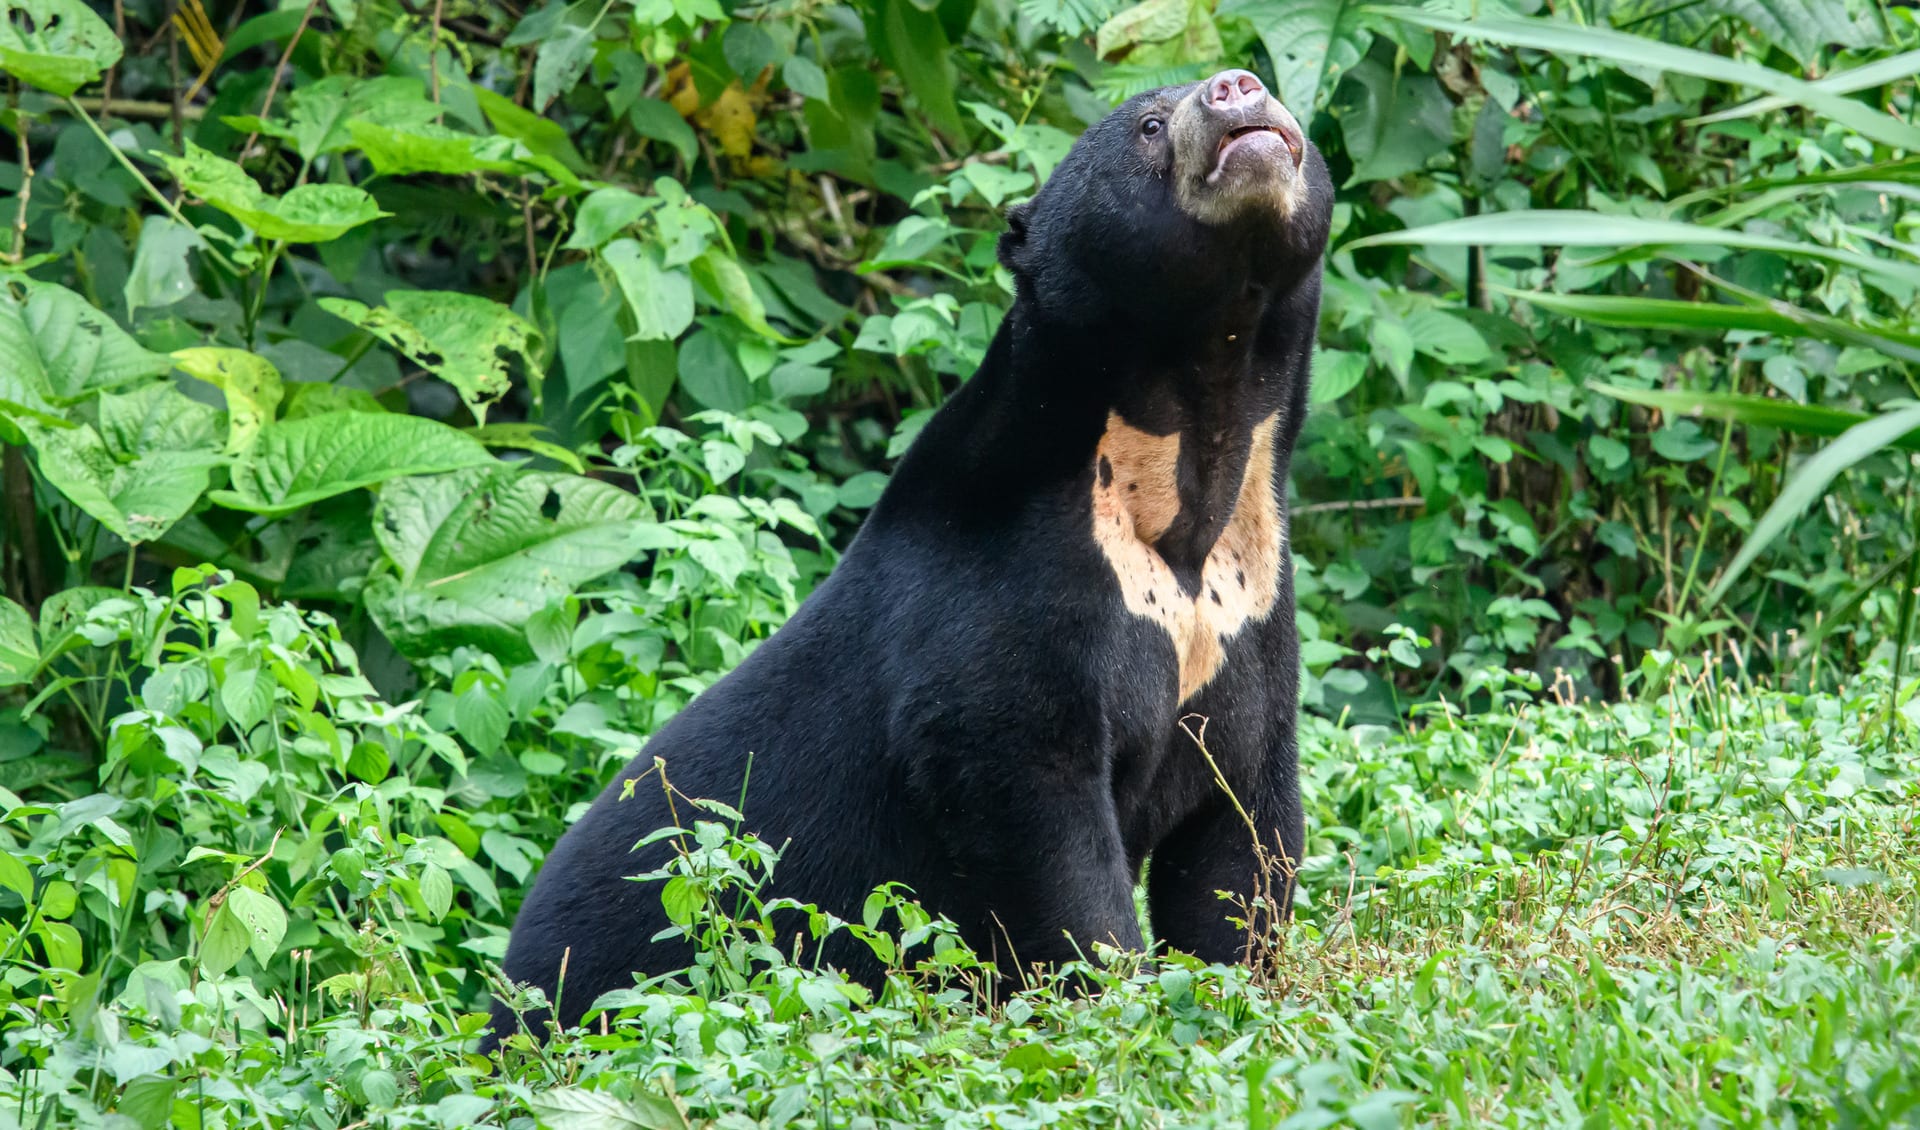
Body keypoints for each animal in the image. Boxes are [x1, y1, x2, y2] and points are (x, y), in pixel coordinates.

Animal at [487, 67, 1334, 1044]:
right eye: (1150, 126)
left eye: (1256, 82)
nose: (1238, 87)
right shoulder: (1003, 607)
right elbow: (1041, 826)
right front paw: (1122, 1009)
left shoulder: (1250, 620)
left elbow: (1244, 839)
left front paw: (1238, 997)